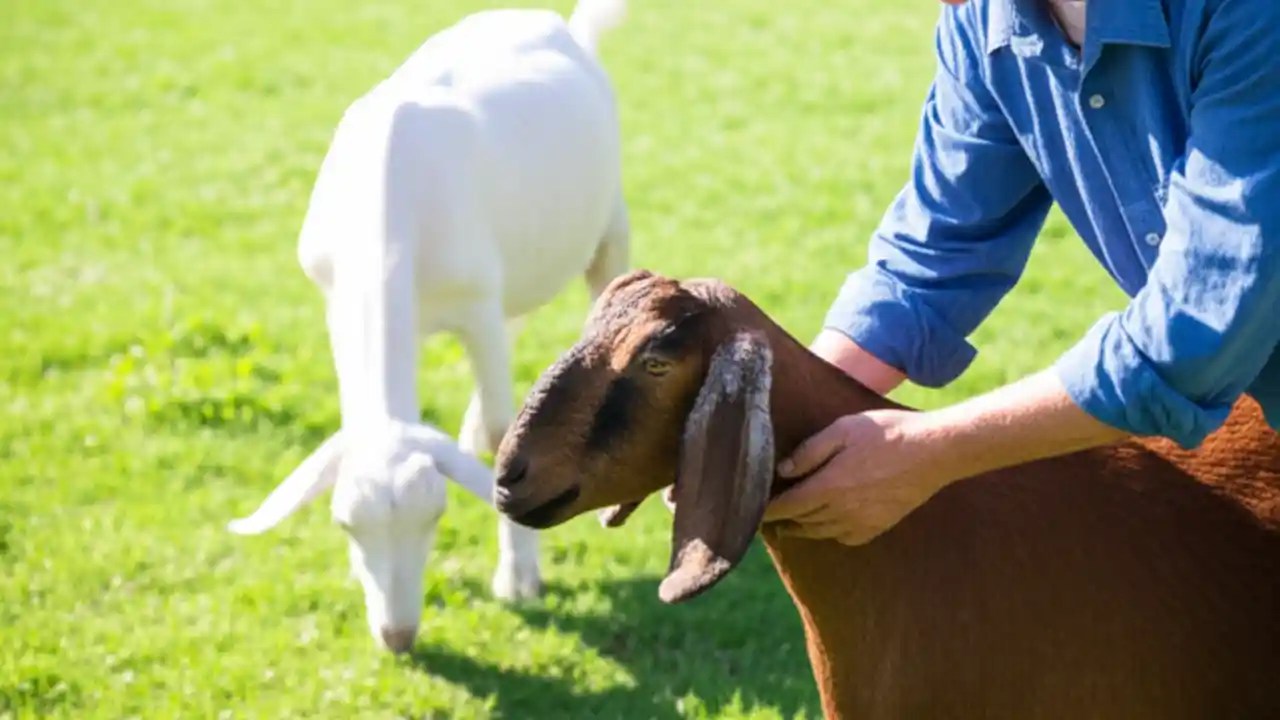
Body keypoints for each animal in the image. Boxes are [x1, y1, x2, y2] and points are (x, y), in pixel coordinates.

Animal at [225, 0, 631, 654]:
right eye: (344, 522)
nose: (398, 636)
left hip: (609, 225)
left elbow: (504, 432)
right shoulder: (335, 298)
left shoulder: (477, 305)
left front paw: (519, 578)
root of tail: (562, 27)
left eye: (436, 516)